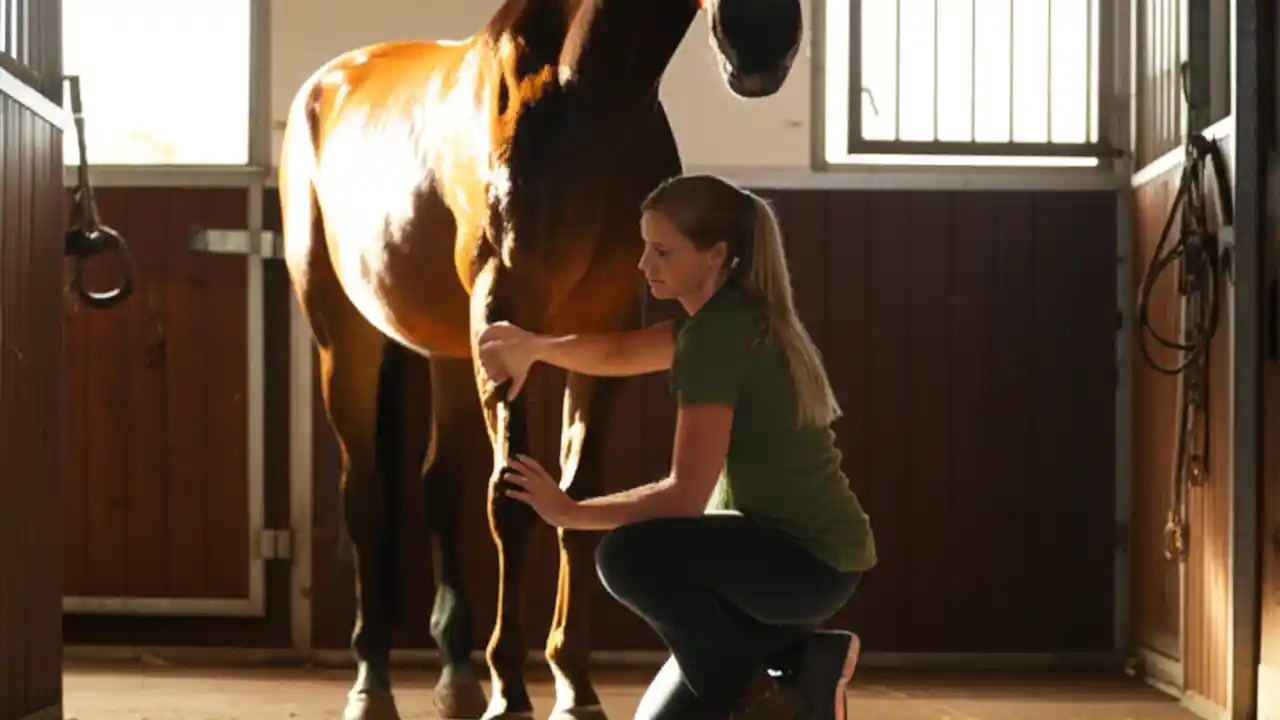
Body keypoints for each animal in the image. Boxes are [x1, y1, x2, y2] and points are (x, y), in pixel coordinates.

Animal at [277, 0, 803, 718]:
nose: (762, 48)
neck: (585, 95)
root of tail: (323, 85)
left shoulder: (605, 327)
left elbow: (576, 500)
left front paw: (575, 685)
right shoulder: (503, 315)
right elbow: (510, 499)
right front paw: (510, 687)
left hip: (448, 352)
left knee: (439, 484)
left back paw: (456, 674)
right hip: (343, 335)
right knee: (364, 493)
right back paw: (371, 682)